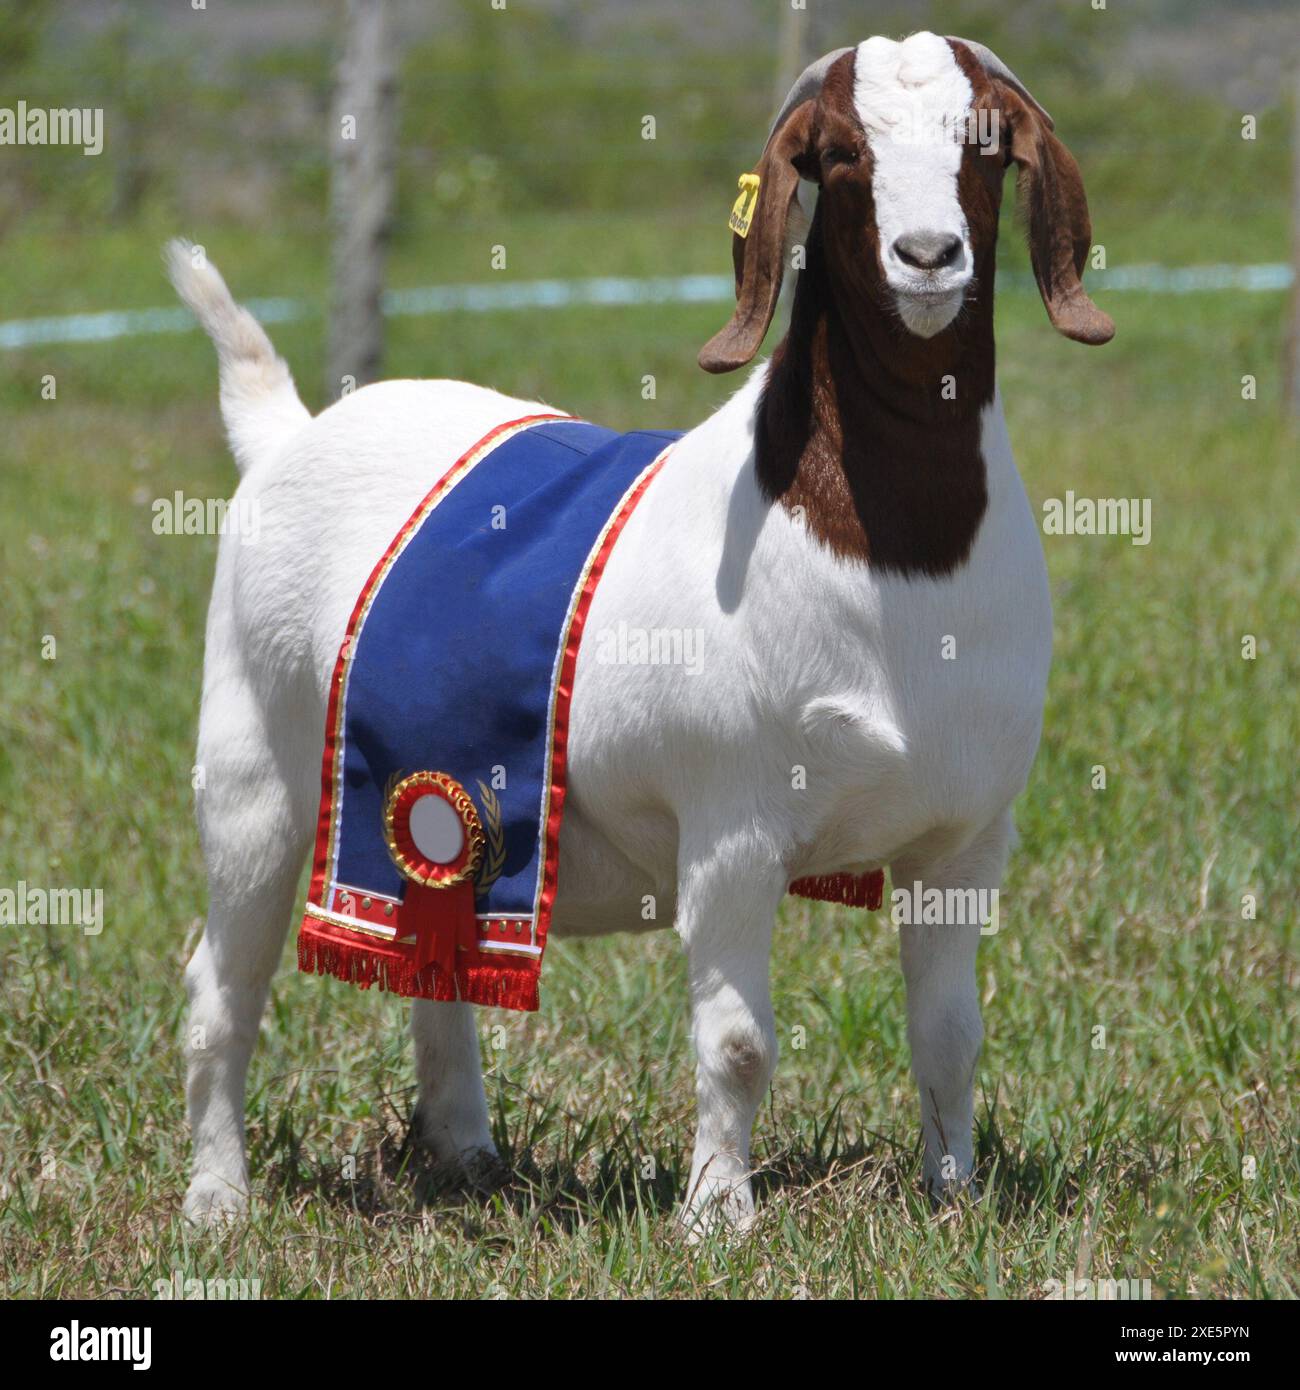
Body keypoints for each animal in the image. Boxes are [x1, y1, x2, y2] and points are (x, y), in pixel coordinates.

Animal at [170, 31, 1112, 1232]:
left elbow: (950, 1035)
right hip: (253, 766)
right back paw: (217, 1198)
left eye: (986, 141)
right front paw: (720, 1218)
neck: (893, 554)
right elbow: (739, 1042)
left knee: (436, 969)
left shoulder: (964, 836)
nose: (929, 254)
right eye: (841, 153)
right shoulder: (733, 827)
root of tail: (284, 431)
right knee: (222, 988)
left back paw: (467, 1155)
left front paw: (955, 1201)